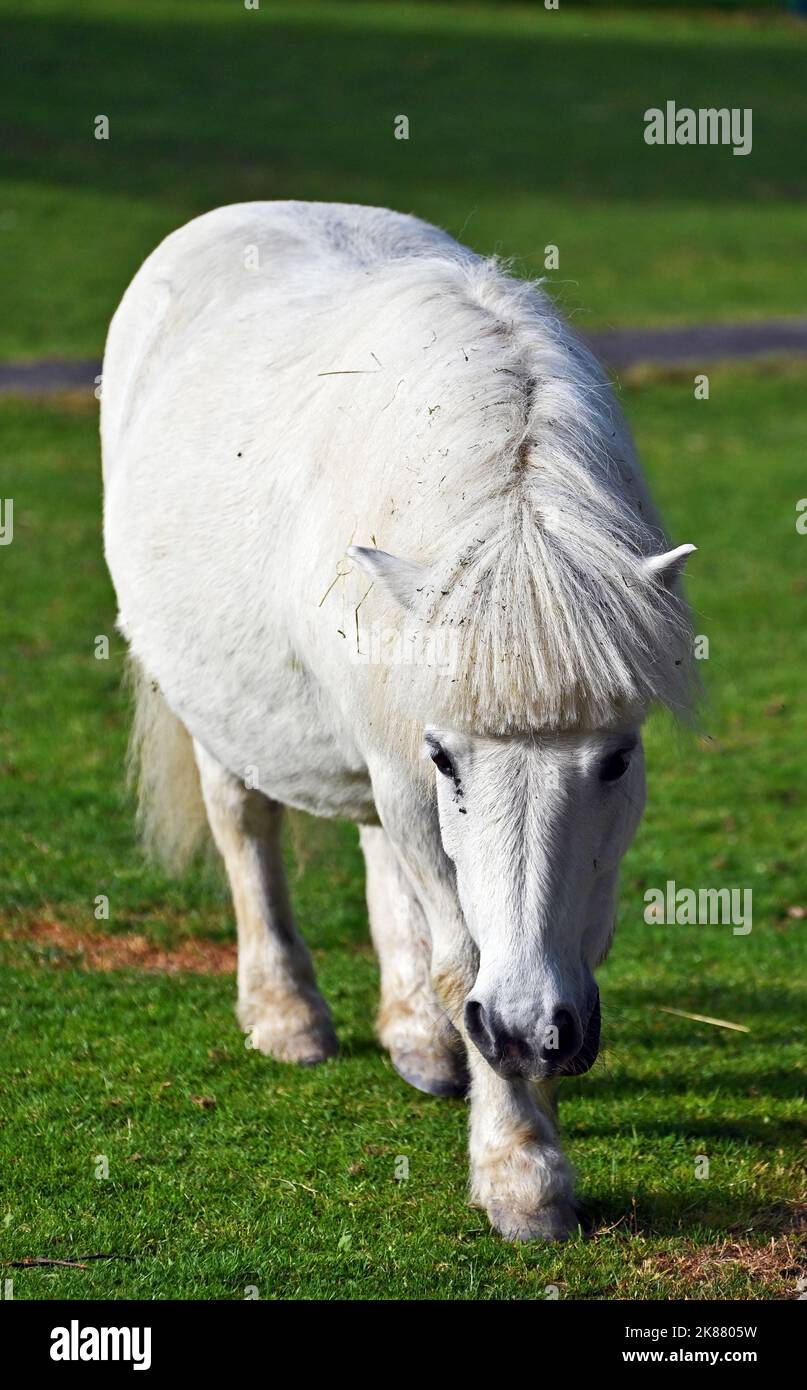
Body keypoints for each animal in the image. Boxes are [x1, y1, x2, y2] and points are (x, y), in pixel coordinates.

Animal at [102, 201, 695, 1242]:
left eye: (617, 760)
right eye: (449, 761)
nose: (527, 1029)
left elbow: (568, 941)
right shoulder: (406, 766)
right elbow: (463, 959)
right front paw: (520, 1172)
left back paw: (416, 1036)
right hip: (222, 719)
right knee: (243, 827)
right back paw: (286, 1014)